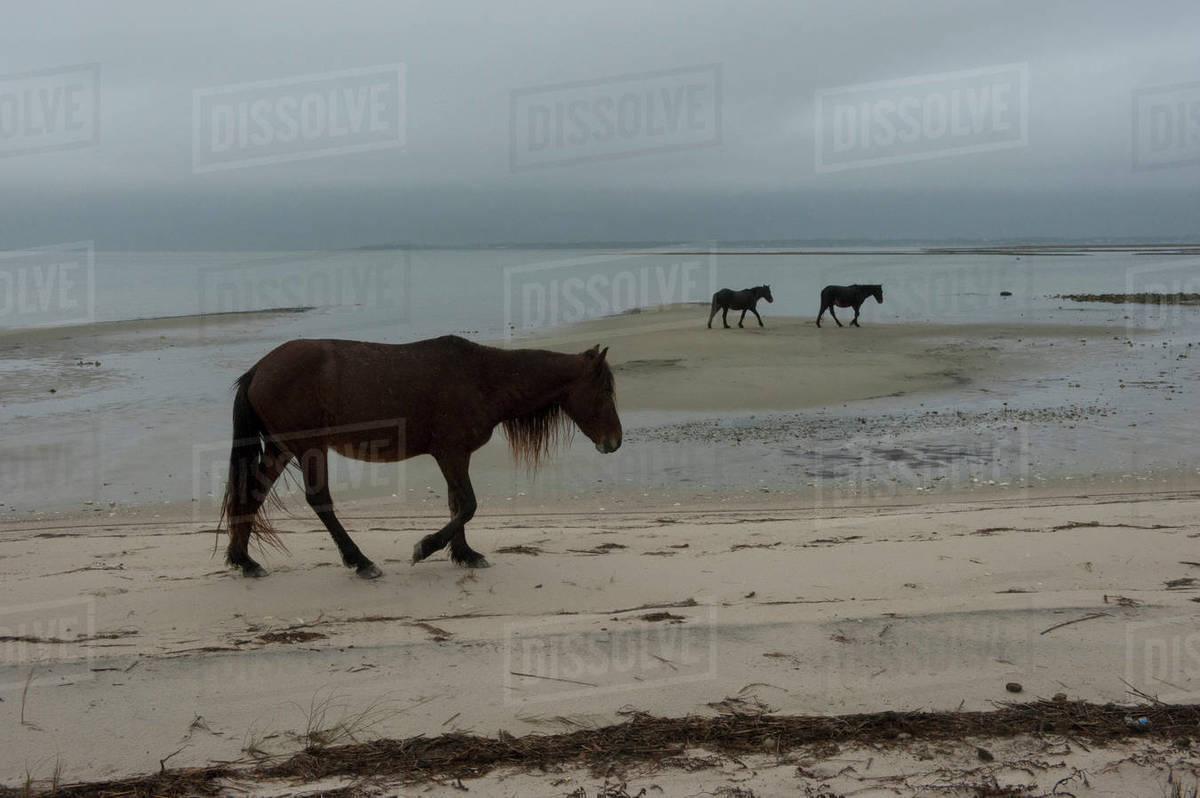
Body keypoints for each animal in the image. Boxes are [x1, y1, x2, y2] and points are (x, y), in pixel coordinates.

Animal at [219, 336, 622, 578]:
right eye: (604, 390)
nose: (615, 441)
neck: (483, 378)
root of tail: (259, 369)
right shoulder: (451, 452)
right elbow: (467, 505)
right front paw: (425, 548)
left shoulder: (455, 456)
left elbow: (457, 504)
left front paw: (465, 553)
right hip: (307, 447)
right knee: (319, 500)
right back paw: (360, 561)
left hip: (281, 447)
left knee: (252, 492)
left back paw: (245, 560)